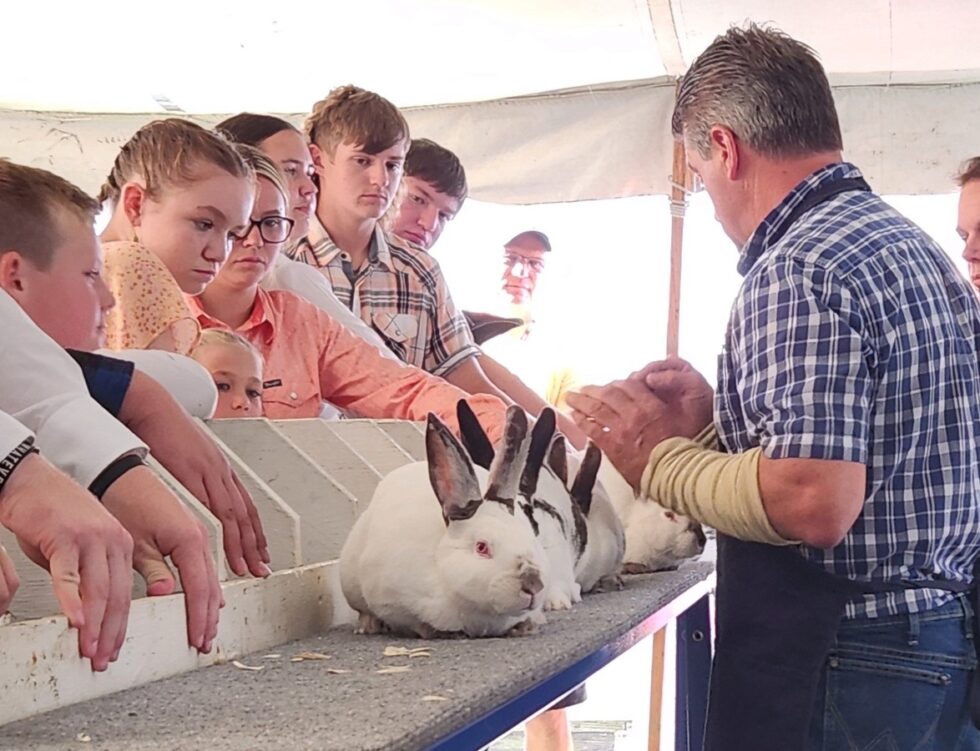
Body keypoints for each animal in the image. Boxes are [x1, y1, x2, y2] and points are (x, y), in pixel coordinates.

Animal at [339, 405, 550, 639]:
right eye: (482, 547)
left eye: (532, 541)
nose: (533, 584)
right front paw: (434, 630)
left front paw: (525, 627)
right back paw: (369, 626)